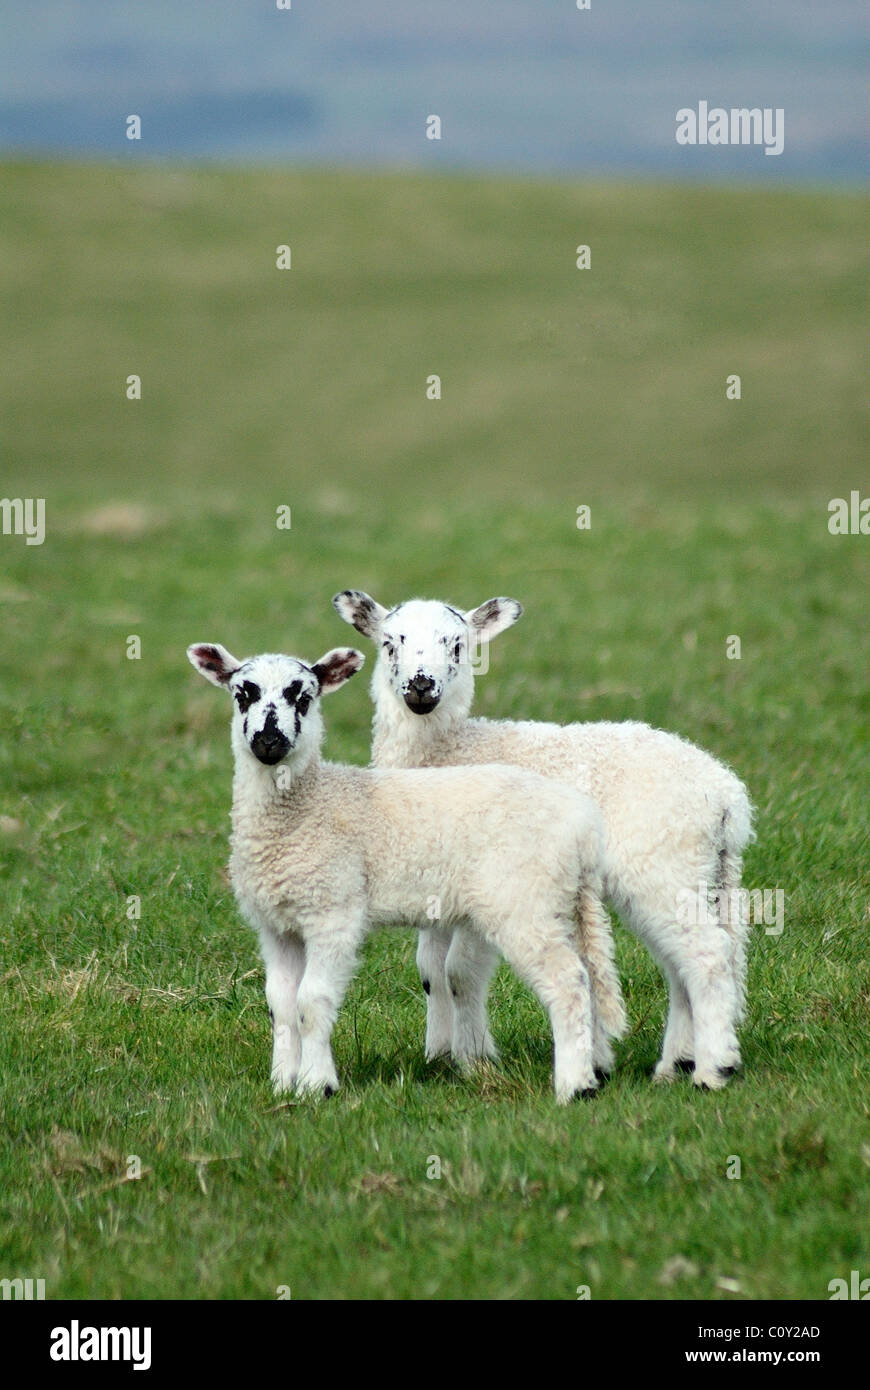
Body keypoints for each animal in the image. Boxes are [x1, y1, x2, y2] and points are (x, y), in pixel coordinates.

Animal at [186, 640, 626, 1102]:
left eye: (303, 698)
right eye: (242, 695)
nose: (269, 741)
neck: (305, 808)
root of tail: (582, 825)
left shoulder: (334, 911)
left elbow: (312, 1001)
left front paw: (317, 1085)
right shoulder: (277, 925)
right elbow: (282, 1006)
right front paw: (282, 1083)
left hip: (524, 900)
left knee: (567, 981)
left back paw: (575, 1086)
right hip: (561, 900)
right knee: (591, 977)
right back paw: (596, 1067)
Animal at [333, 590, 755, 1091]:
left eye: (457, 645)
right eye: (389, 643)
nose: (421, 686)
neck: (450, 749)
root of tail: (726, 796)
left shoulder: (485, 884)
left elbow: (459, 973)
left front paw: (475, 1060)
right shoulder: (437, 886)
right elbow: (431, 972)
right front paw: (438, 1055)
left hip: (664, 864)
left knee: (708, 956)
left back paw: (713, 1068)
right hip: (687, 873)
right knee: (684, 964)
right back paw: (676, 1064)